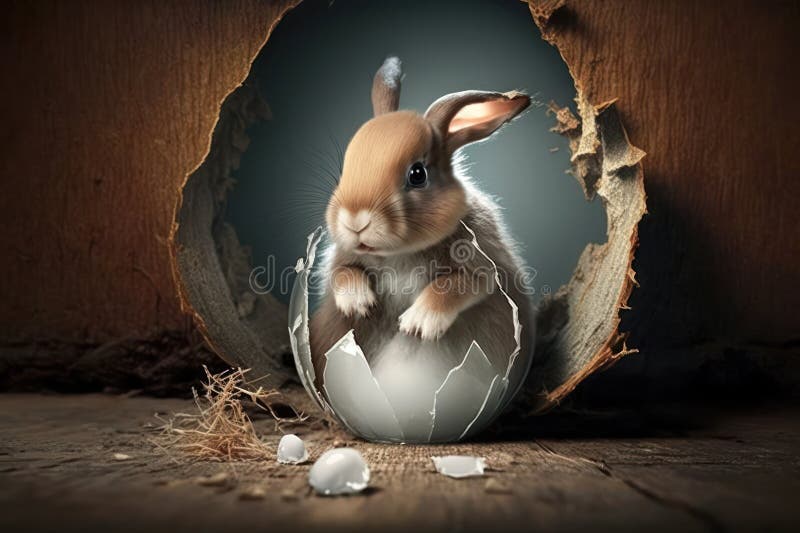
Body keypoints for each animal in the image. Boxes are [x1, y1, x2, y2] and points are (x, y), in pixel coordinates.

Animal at [309, 57, 535, 418]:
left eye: (418, 174)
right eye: (346, 168)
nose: (355, 220)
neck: (397, 253)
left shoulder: (482, 264)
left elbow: (457, 284)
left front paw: (418, 323)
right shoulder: (342, 259)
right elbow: (342, 273)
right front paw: (359, 303)